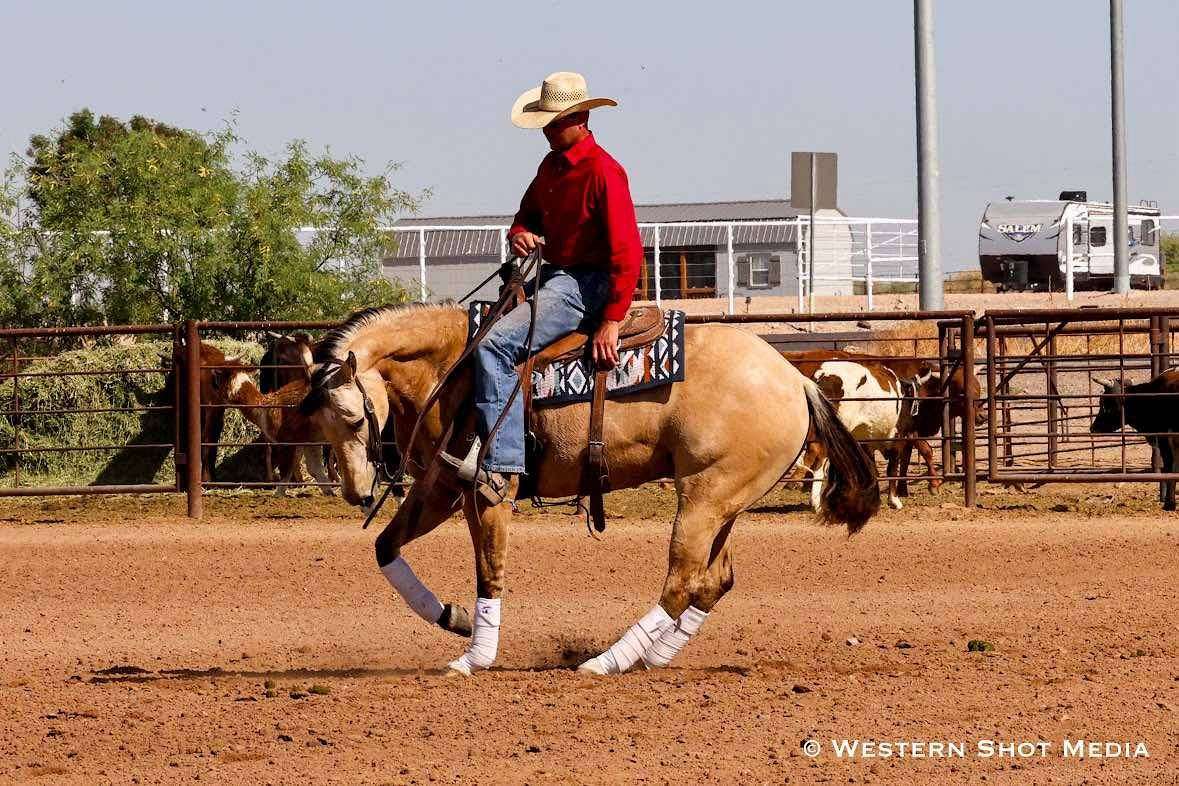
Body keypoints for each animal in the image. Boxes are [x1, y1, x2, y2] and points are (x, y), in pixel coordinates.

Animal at [297, 303, 880, 676]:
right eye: (319, 425)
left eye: (353, 417)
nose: (355, 493)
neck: (454, 367)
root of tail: (795, 379)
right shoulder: (442, 486)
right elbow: (385, 547)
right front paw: (455, 619)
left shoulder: (488, 491)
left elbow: (490, 569)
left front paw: (475, 656)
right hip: (723, 501)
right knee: (714, 580)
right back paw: (654, 656)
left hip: (705, 499)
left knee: (681, 581)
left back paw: (609, 660)